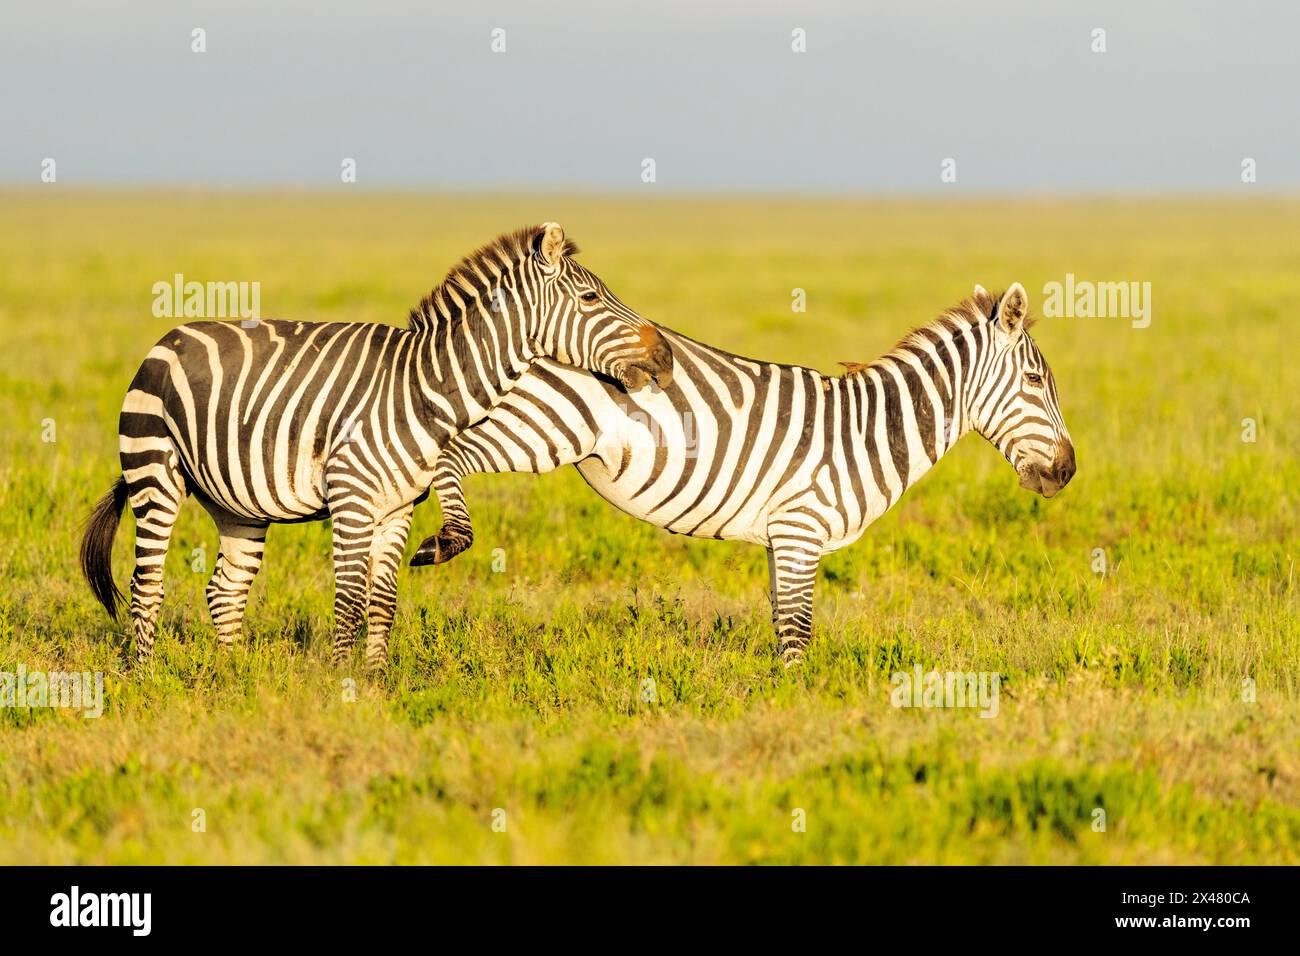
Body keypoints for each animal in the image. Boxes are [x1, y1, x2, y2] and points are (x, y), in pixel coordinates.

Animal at [79, 223, 674, 673]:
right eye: (591, 298)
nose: (665, 356)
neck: (424, 388)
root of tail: (168, 338)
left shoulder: (397, 507)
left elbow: (383, 600)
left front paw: (377, 680)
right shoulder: (352, 498)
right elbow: (348, 599)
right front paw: (344, 684)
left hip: (235, 504)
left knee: (225, 590)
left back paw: (233, 675)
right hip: (155, 472)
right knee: (147, 584)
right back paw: (147, 677)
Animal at [410, 283, 1075, 664]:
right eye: (1035, 381)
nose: (1067, 471)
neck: (868, 428)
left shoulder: (784, 536)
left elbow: (782, 621)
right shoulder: (803, 526)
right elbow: (798, 630)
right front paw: (798, 715)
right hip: (534, 428)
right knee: (446, 458)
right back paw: (443, 541)